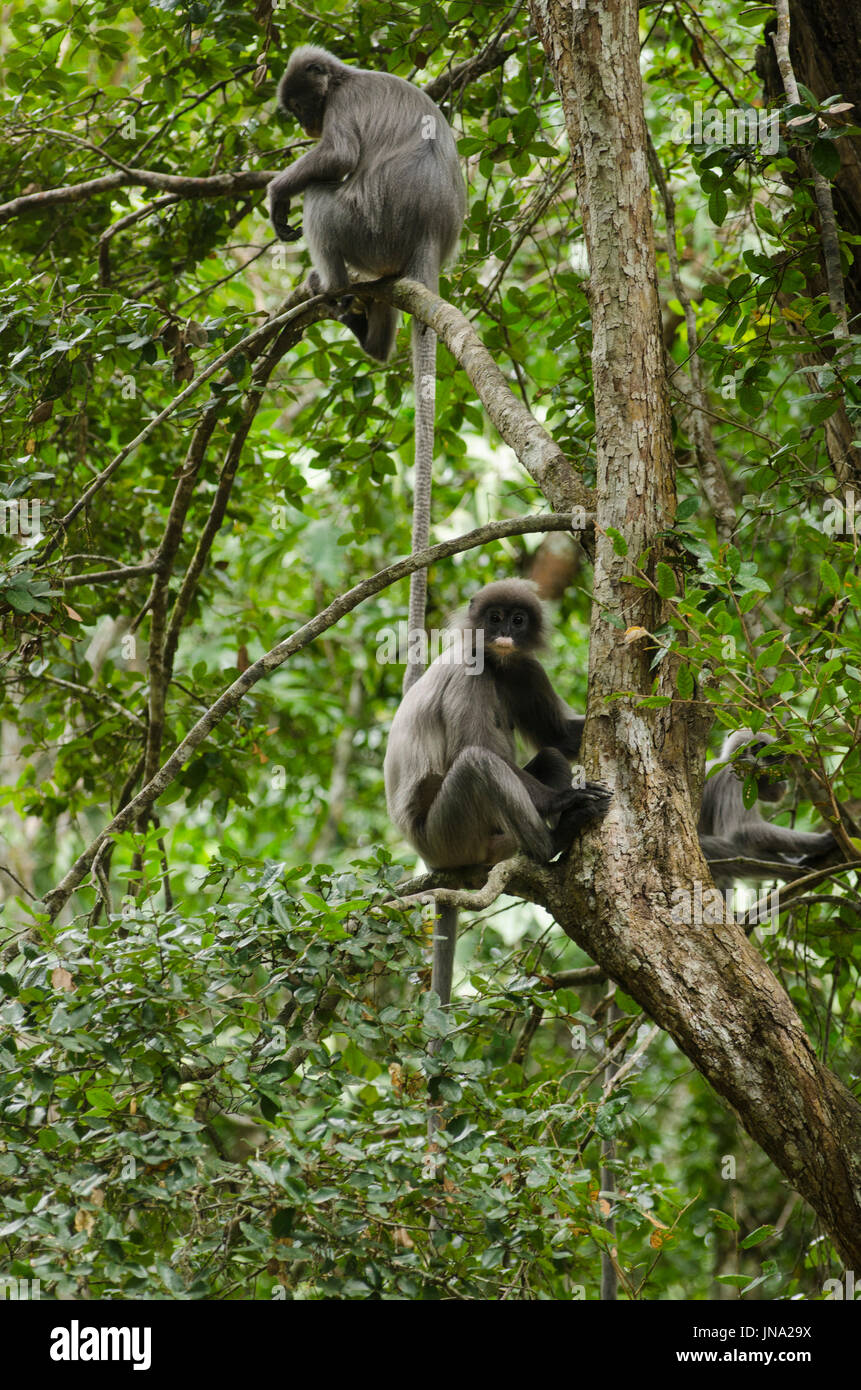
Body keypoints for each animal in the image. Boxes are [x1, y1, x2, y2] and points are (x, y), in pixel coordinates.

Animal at [268, 46, 467, 692]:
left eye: (305, 107)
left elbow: (338, 158)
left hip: (368, 223)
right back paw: (369, 333)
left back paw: (331, 289)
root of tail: (430, 235)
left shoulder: (344, 108)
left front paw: (276, 194)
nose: (305, 124)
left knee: (323, 196)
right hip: (385, 253)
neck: (344, 79)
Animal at [383, 580, 612, 1013]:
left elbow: (560, 738)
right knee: (477, 761)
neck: (495, 664)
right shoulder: (468, 670)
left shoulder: (524, 668)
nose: (505, 632)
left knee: (550, 755)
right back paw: (552, 840)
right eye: (495, 617)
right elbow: (475, 750)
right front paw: (562, 801)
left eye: (517, 620)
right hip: (448, 836)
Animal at [698, 729, 839, 890]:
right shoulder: (733, 779)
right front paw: (821, 841)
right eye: (776, 767)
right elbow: (741, 830)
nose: (784, 784)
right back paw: (794, 869)